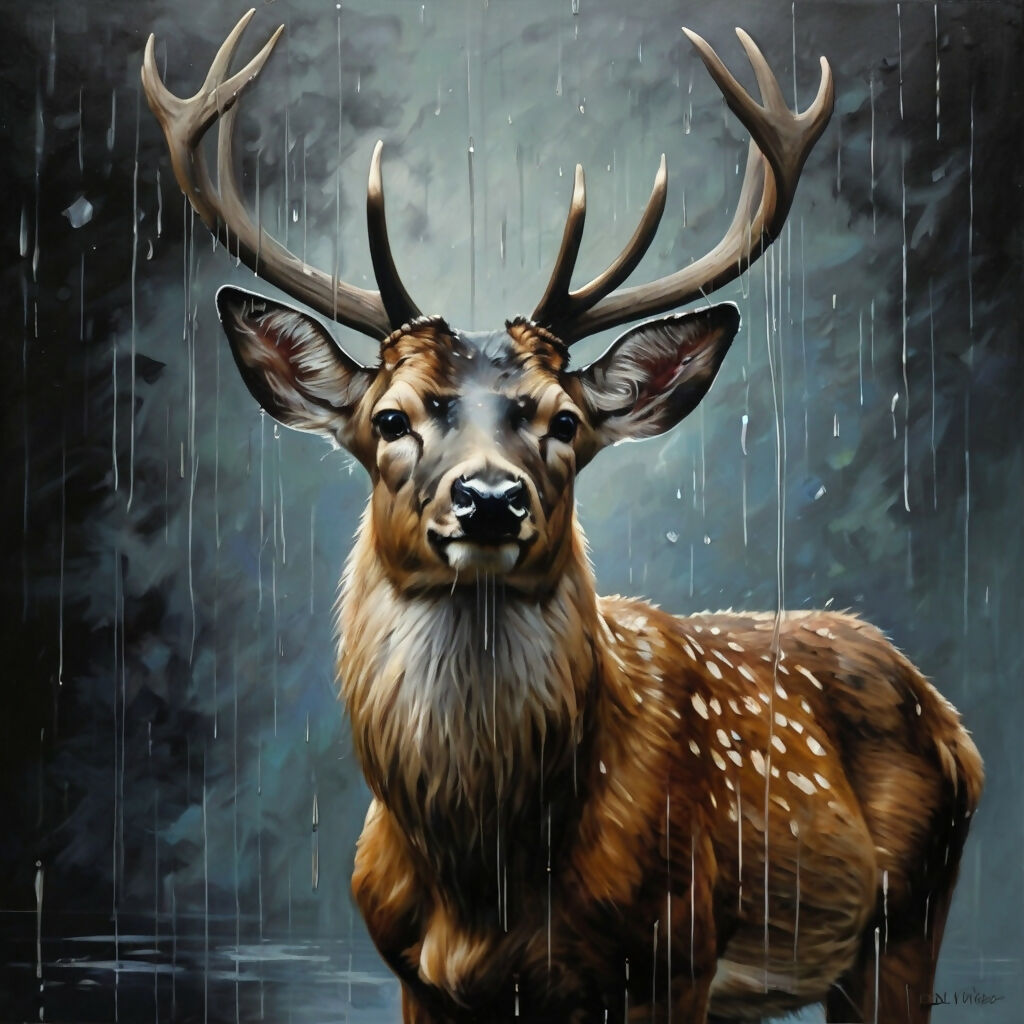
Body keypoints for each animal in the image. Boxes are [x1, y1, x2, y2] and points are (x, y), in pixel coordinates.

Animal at [143, 11, 983, 1023]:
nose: (489, 498)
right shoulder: (413, 973)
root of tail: (951, 718)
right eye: (390, 418)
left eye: (565, 421)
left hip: (908, 919)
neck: (484, 886)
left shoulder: (674, 952)